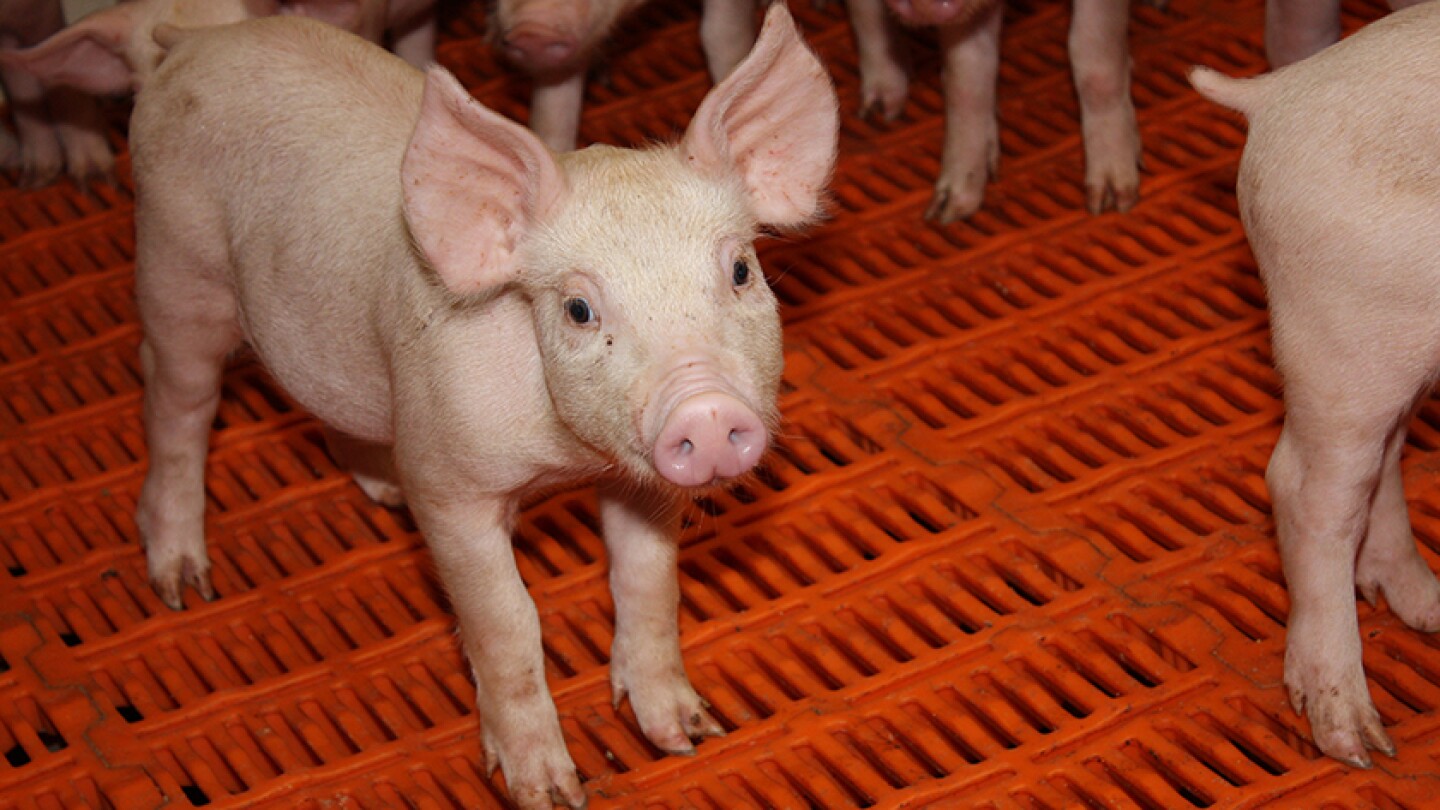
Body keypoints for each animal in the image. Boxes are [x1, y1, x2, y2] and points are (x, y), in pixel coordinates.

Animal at [130, 5, 837, 807]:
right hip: (175, 265)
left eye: (741, 270)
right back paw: (182, 584)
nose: (707, 411)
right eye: (578, 309)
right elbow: (505, 624)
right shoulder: (448, 485)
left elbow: (647, 583)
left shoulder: (638, 482)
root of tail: (190, 43)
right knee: (176, 399)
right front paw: (548, 792)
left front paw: (688, 735)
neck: (563, 461)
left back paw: (382, 491)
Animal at [882, 0, 1141, 222]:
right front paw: (946, 212)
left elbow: (1093, 60)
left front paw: (1112, 202)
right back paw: (883, 105)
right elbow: (966, 74)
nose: (920, 3)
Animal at [1189, 0, 1440, 769]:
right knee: (1305, 488)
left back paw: (1426, 607)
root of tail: (1275, 96)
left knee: (1382, 458)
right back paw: (1356, 740)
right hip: (1340, 330)